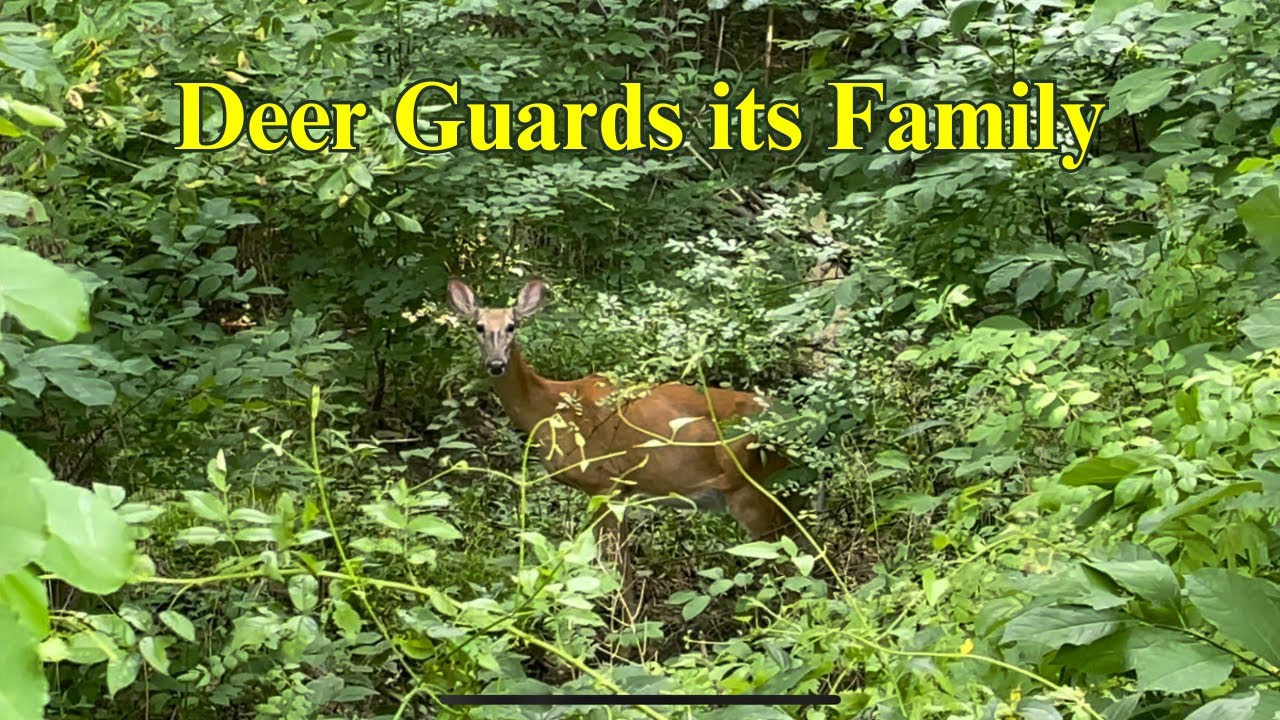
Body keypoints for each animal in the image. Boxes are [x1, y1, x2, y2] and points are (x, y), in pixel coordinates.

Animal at [446, 278, 806, 596]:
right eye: (478, 326)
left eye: (512, 326)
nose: (496, 364)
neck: (551, 407)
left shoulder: (607, 482)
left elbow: (619, 572)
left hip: (750, 486)